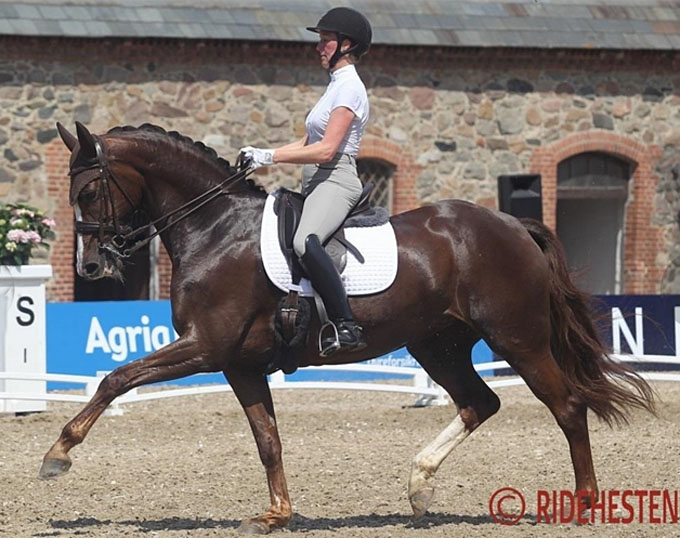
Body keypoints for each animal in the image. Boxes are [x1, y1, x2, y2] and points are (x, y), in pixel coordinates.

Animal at [41, 121, 655, 534]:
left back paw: (583, 505)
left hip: (518, 338)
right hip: (437, 344)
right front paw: (277, 514)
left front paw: (58, 454)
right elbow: (268, 439)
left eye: (89, 191)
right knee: (480, 402)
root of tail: (512, 223)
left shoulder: (205, 348)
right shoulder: (238, 364)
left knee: (567, 406)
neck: (215, 230)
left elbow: (116, 378)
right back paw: (418, 487)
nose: (91, 267)